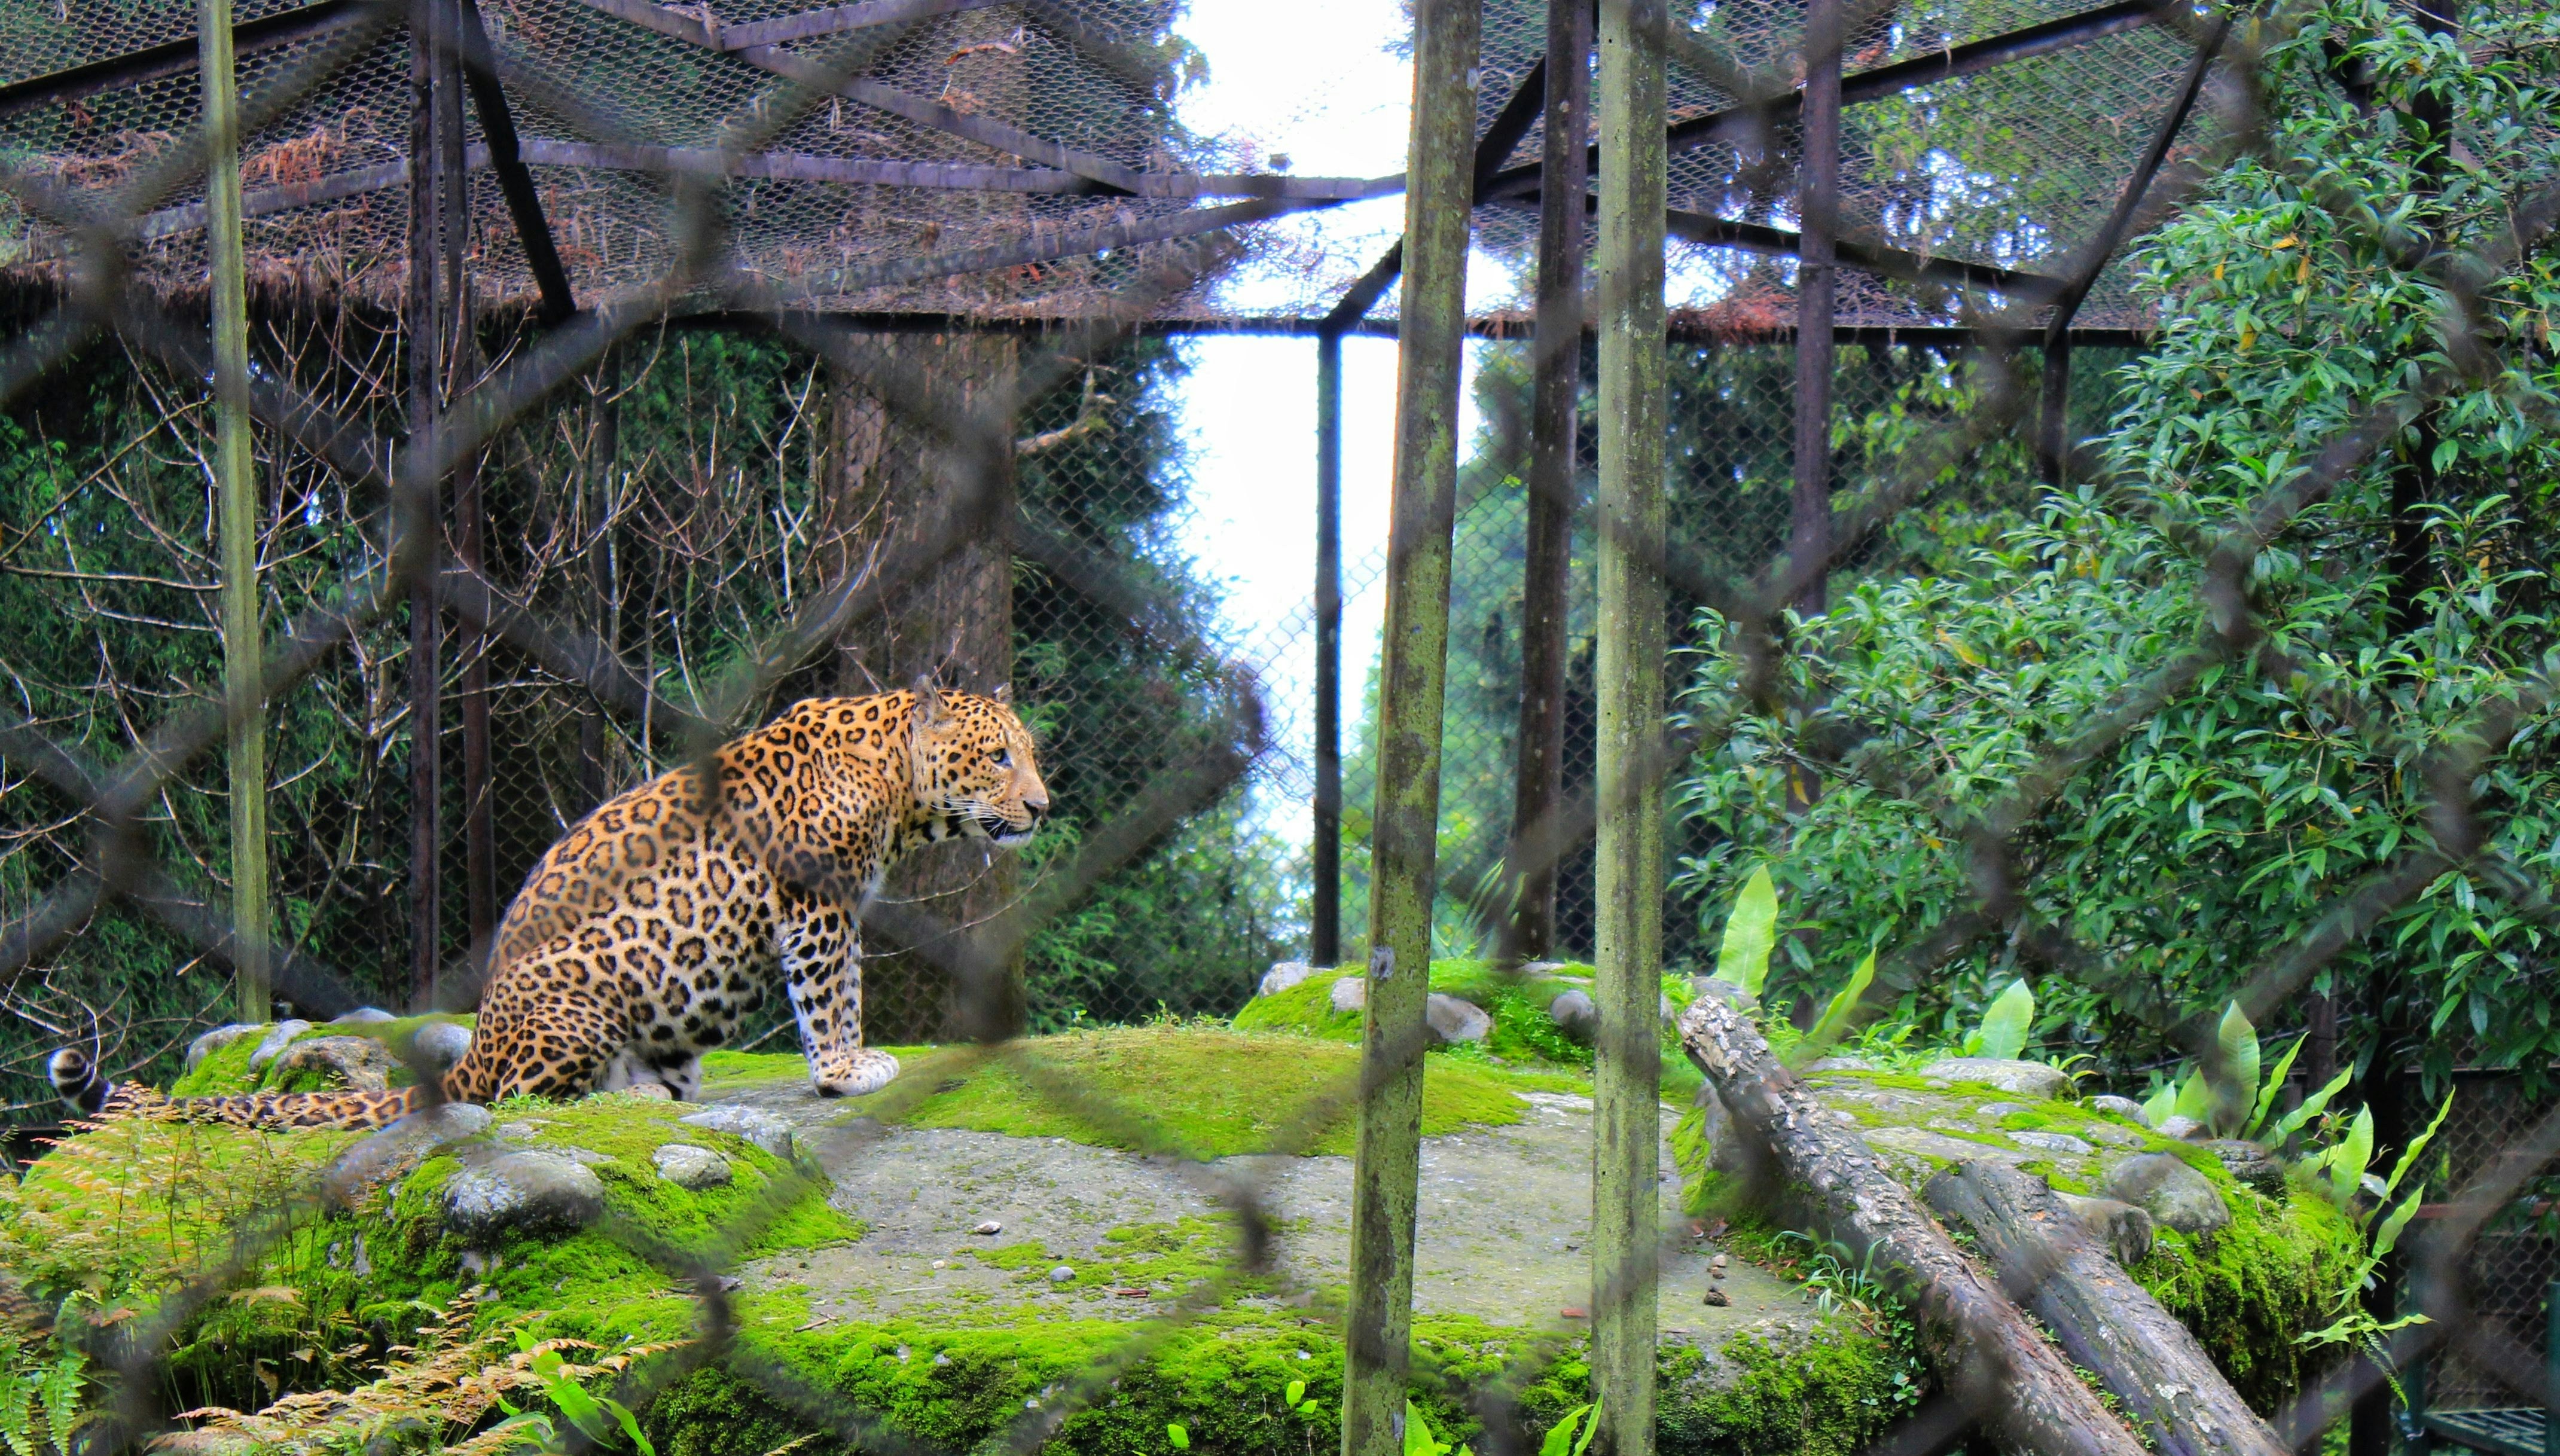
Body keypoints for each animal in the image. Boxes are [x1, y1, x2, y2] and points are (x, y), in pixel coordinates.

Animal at [50, 685, 1048, 1129]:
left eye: (1027, 752)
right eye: (999, 755)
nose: (1042, 805)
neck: (898, 788)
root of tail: (483, 1038)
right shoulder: (817, 905)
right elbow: (831, 993)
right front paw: (846, 1067)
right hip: (585, 997)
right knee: (522, 1098)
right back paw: (622, 1097)